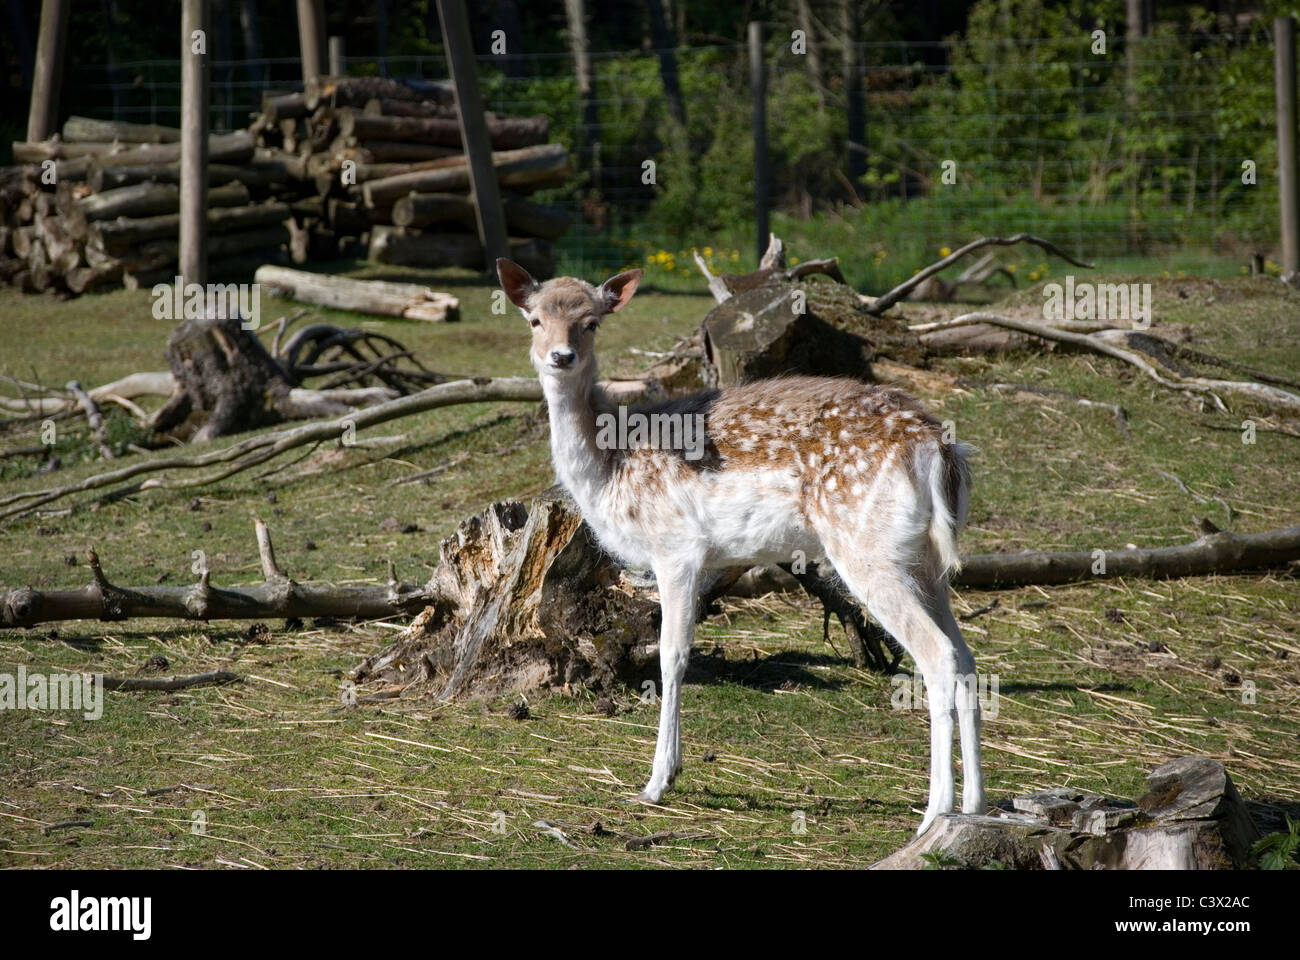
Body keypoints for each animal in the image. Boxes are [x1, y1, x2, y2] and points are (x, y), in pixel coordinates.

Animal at [496, 258, 986, 834]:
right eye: (534, 319)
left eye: (591, 322)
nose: (561, 355)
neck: (613, 467)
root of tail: (939, 449)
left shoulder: (676, 548)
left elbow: (671, 656)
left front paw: (658, 783)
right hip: (926, 561)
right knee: (968, 658)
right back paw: (974, 805)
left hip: (867, 547)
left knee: (938, 656)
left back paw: (935, 812)